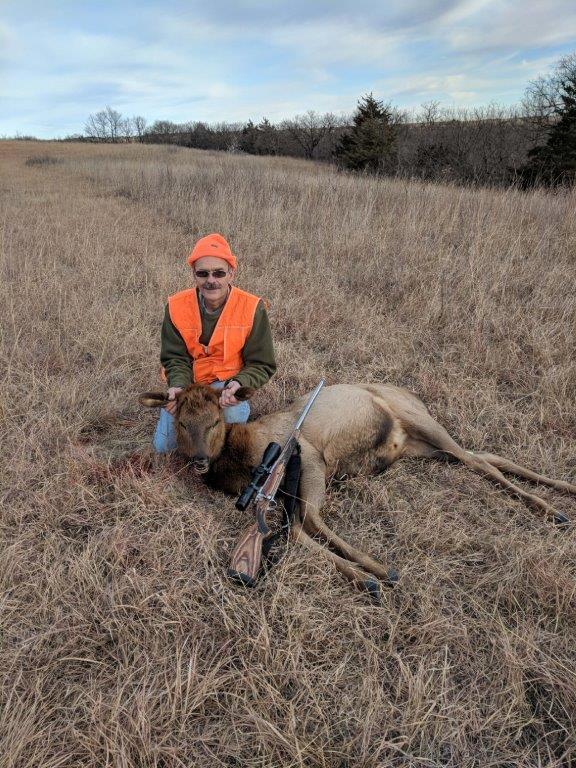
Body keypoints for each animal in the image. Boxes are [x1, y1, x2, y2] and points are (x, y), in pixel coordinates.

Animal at [140, 382, 575, 599]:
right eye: (181, 422)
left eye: (215, 420)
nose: (199, 459)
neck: (238, 458)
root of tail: (413, 396)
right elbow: (295, 527)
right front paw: (367, 575)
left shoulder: (309, 458)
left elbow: (307, 520)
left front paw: (376, 572)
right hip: (418, 447)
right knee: (484, 455)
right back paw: (562, 495)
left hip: (422, 422)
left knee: (478, 460)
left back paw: (553, 507)